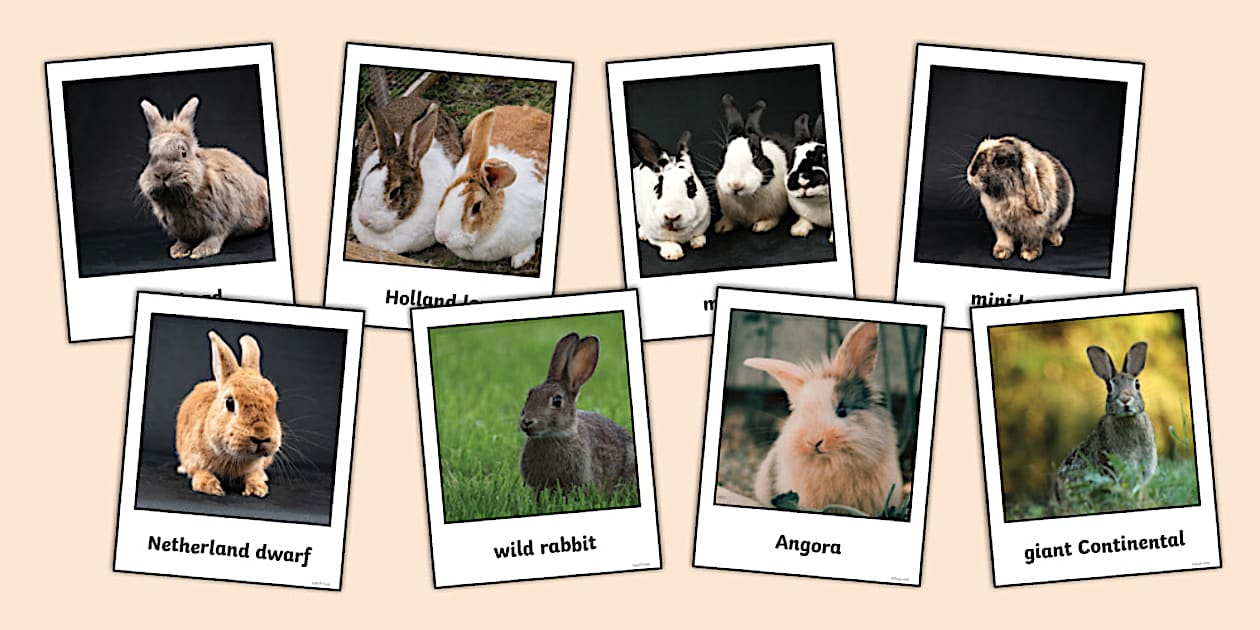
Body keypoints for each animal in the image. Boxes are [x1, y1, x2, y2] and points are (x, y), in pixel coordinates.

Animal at [138, 97, 271, 260]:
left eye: (183, 152)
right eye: (150, 156)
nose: (162, 174)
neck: (179, 200)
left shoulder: (222, 220)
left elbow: (216, 236)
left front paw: (200, 252)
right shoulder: (184, 230)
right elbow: (184, 240)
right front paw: (177, 251)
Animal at [175, 331, 281, 498]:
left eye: (274, 402)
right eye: (230, 403)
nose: (261, 436)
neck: (233, 457)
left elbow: (253, 475)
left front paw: (257, 489)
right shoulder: (194, 460)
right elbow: (201, 473)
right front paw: (212, 488)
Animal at [630, 128, 711, 260]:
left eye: (691, 185)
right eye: (658, 187)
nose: (672, 216)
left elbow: (698, 235)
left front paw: (698, 242)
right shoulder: (654, 235)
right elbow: (661, 242)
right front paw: (673, 253)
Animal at [714, 94, 789, 234]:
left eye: (755, 154)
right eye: (723, 153)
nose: (736, 184)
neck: (746, 197)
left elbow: (773, 218)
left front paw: (762, 226)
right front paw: (721, 226)